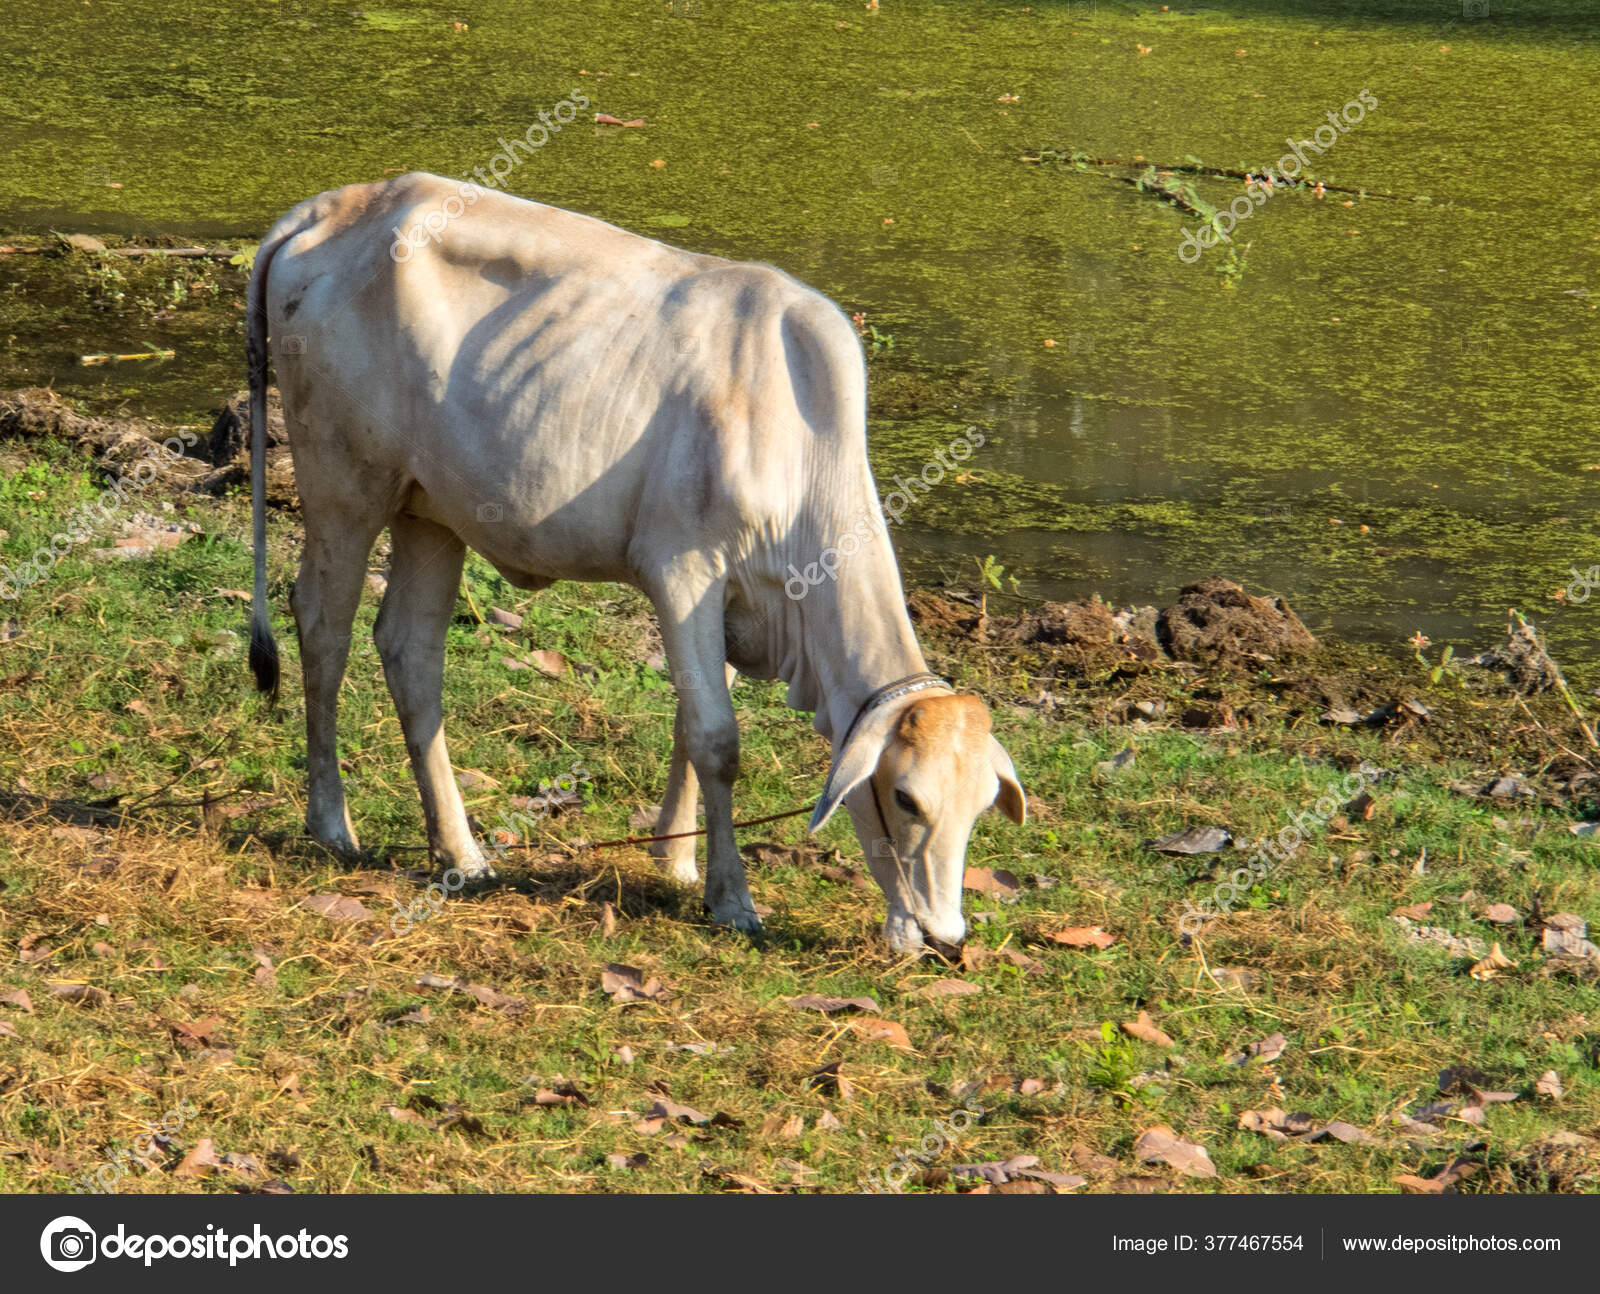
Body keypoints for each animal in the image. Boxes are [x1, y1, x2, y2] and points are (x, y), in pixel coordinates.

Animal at [245, 173, 1024, 954]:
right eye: (906, 798)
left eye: (982, 806)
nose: (944, 935)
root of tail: (336, 205)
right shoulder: (683, 570)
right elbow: (717, 739)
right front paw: (731, 898)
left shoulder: (727, 602)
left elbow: (690, 721)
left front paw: (675, 859)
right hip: (344, 484)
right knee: (322, 627)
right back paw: (332, 825)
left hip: (429, 513)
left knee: (409, 650)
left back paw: (459, 851)